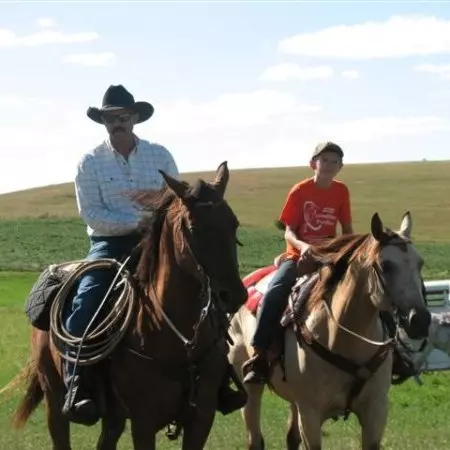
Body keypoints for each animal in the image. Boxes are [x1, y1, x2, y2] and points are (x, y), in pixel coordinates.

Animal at [0, 162, 246, 450]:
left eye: (233, 223)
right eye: (193, 228)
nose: (233, 295)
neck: (181, 342)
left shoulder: (201, 419)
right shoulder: (143, 421)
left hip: (114, 415)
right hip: (53, 395)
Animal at [230, 211, 430, 450]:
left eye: (420, 263)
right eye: (385, 265)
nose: (420, 320)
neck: (343, 339)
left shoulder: (376, 411)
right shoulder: (310, 414)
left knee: (291, 438)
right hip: (249, 384)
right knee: (255, 438)